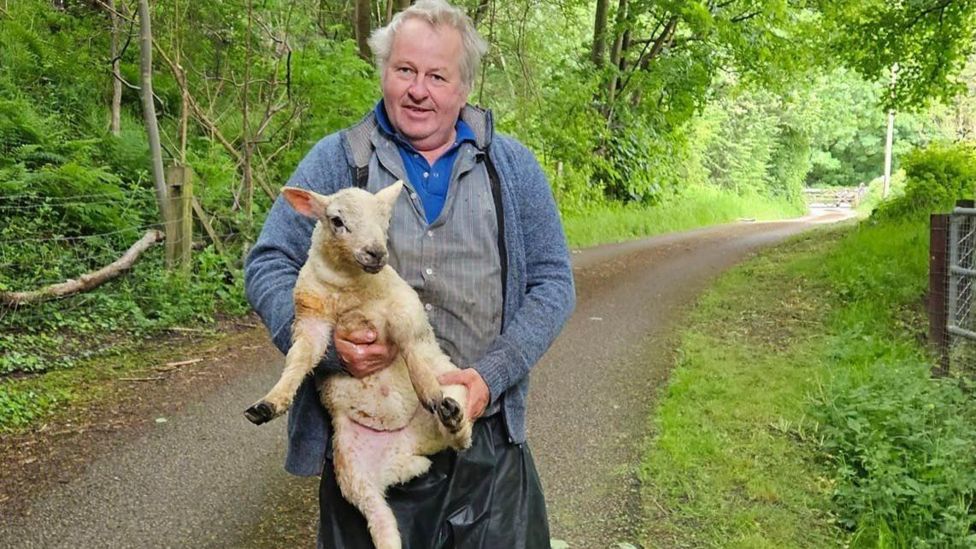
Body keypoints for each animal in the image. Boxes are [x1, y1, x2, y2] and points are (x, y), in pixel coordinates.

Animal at [244, 181, 472, 549]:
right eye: (336, 220)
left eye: (385, 219)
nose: (376, 253)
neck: (347, 288)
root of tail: (405, 451)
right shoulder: (311, 318)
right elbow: (300, 358)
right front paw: (269, 404)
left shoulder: (403, 305)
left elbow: (410, 345)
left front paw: (428, 390)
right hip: (351, 471)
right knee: (380, 519)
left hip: (455, 389)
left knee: (460, 439)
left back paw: (450, 415)